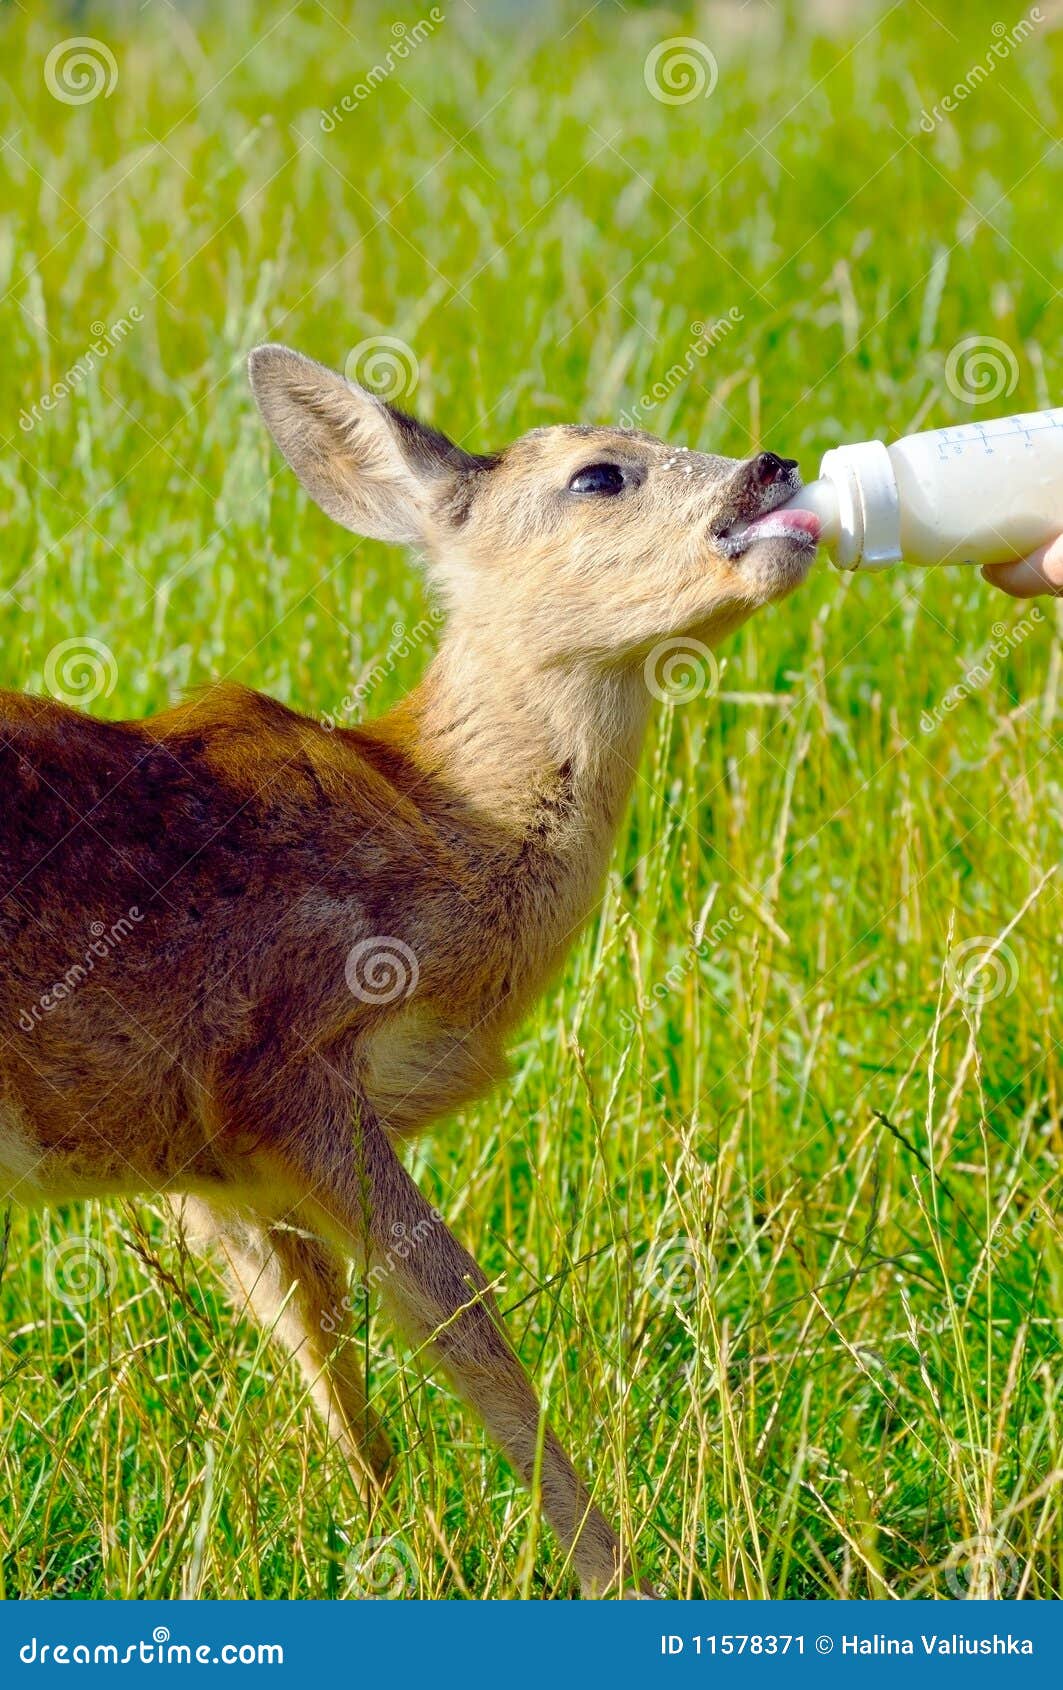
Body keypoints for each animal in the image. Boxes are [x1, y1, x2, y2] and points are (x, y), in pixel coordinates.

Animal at [0, 343, 819, 1596]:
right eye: (599, 473)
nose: (772, 464)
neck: (439, 825)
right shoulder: (278, 1057)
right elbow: (455, 1309)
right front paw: (611, 1568)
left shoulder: (207, 1164)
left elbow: (318, 1339)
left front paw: (385, 1528)